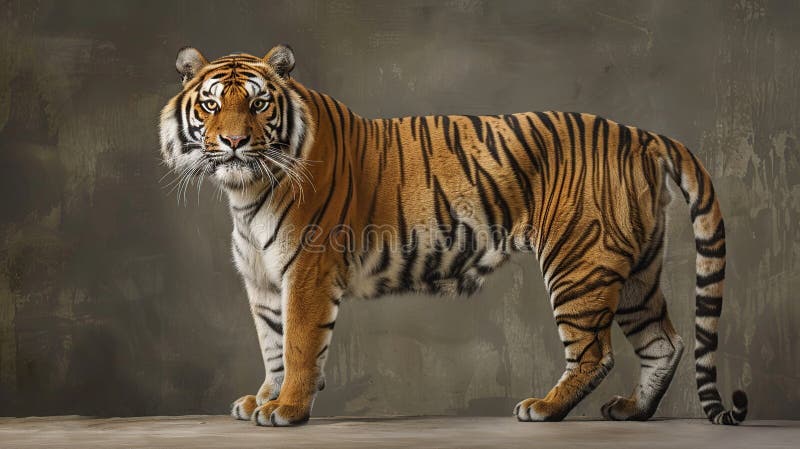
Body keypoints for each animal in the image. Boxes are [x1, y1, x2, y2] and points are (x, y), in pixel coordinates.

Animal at [158, 44, 748, 427]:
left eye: (258, 104)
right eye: (211, 105)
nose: (234, 143)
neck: (244, 192)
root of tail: (639, 133)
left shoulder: (306, 270)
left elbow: (300, 345)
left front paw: (287, 409)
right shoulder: (262, 282)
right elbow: (272, 346)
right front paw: (263, 399)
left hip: (580, 262)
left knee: (595, 352)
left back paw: (545, 408)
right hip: (635, 269)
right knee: (664, 342)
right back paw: (633, 410)